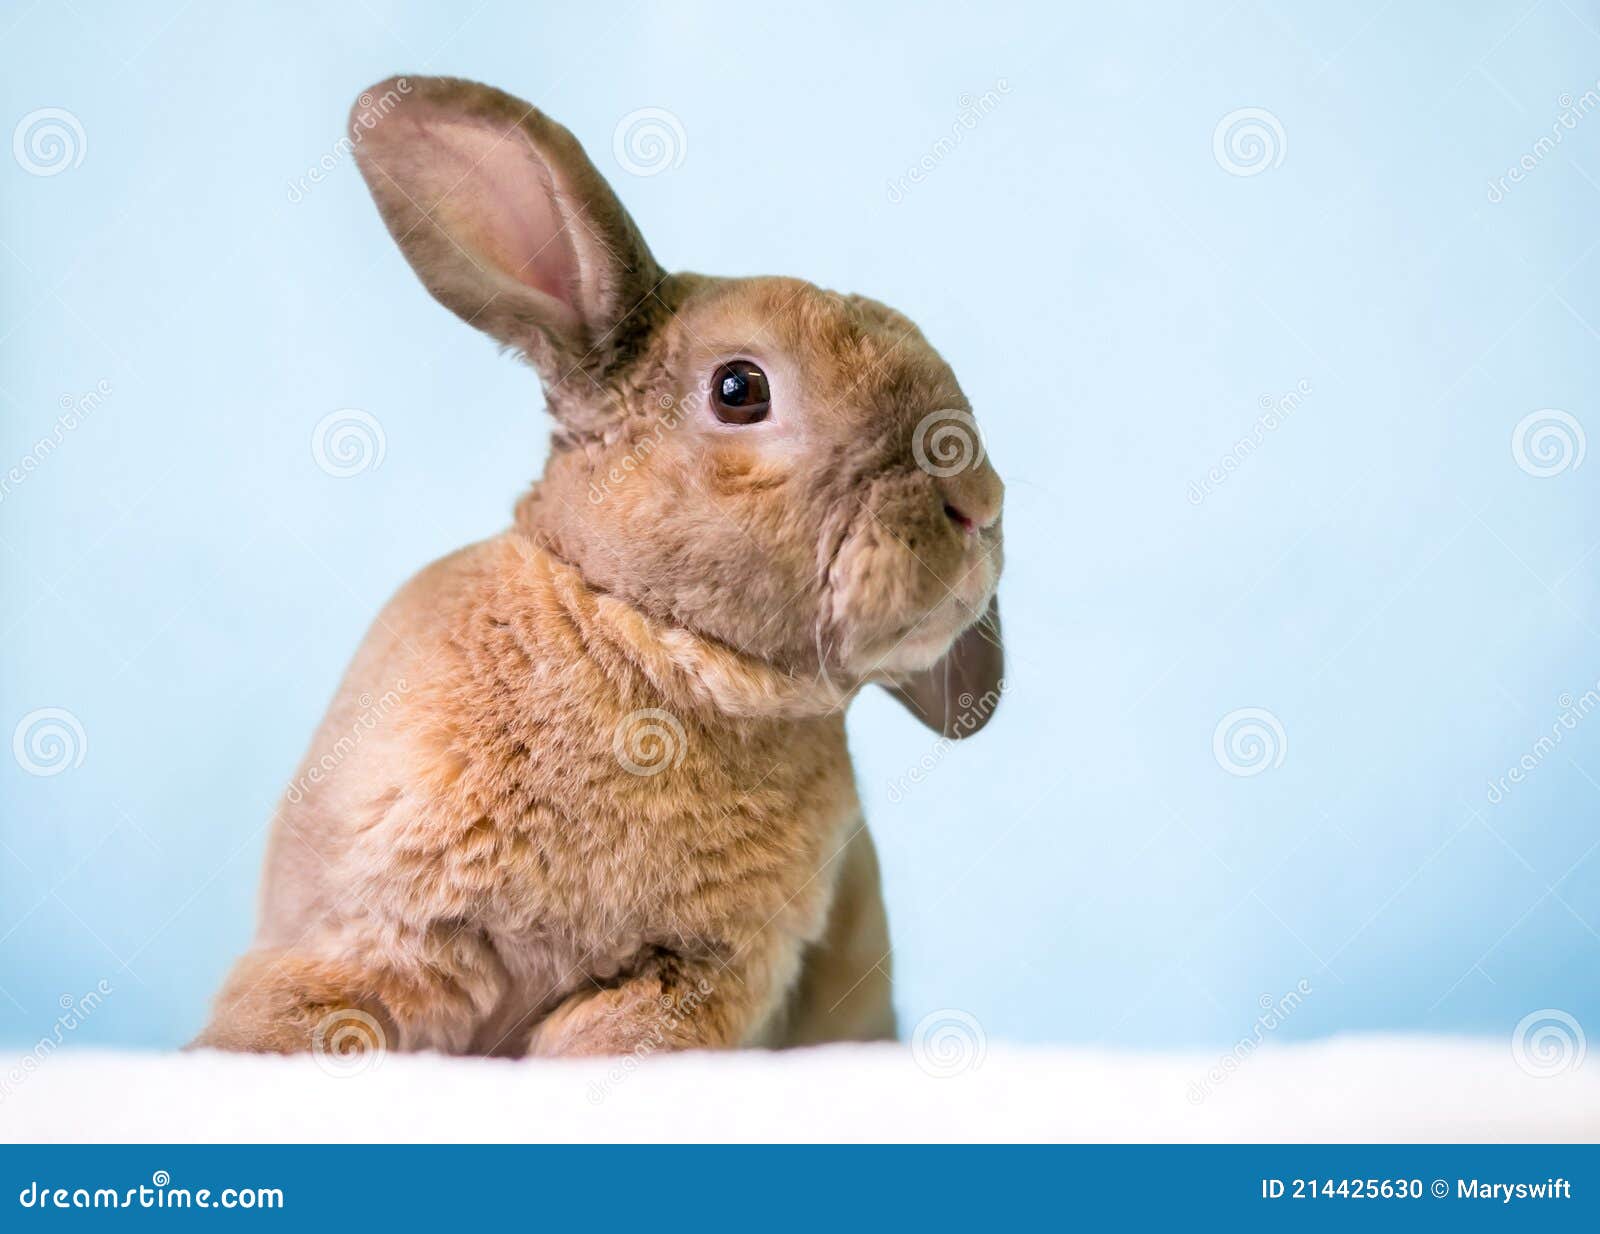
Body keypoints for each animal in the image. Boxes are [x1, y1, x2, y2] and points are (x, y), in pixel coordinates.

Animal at [193, 75, 1004, 1060]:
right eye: (740, 390)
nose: (978, 503)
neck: (648, 640)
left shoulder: (703, 971)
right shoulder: (379, 930)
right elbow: (308, 1009)